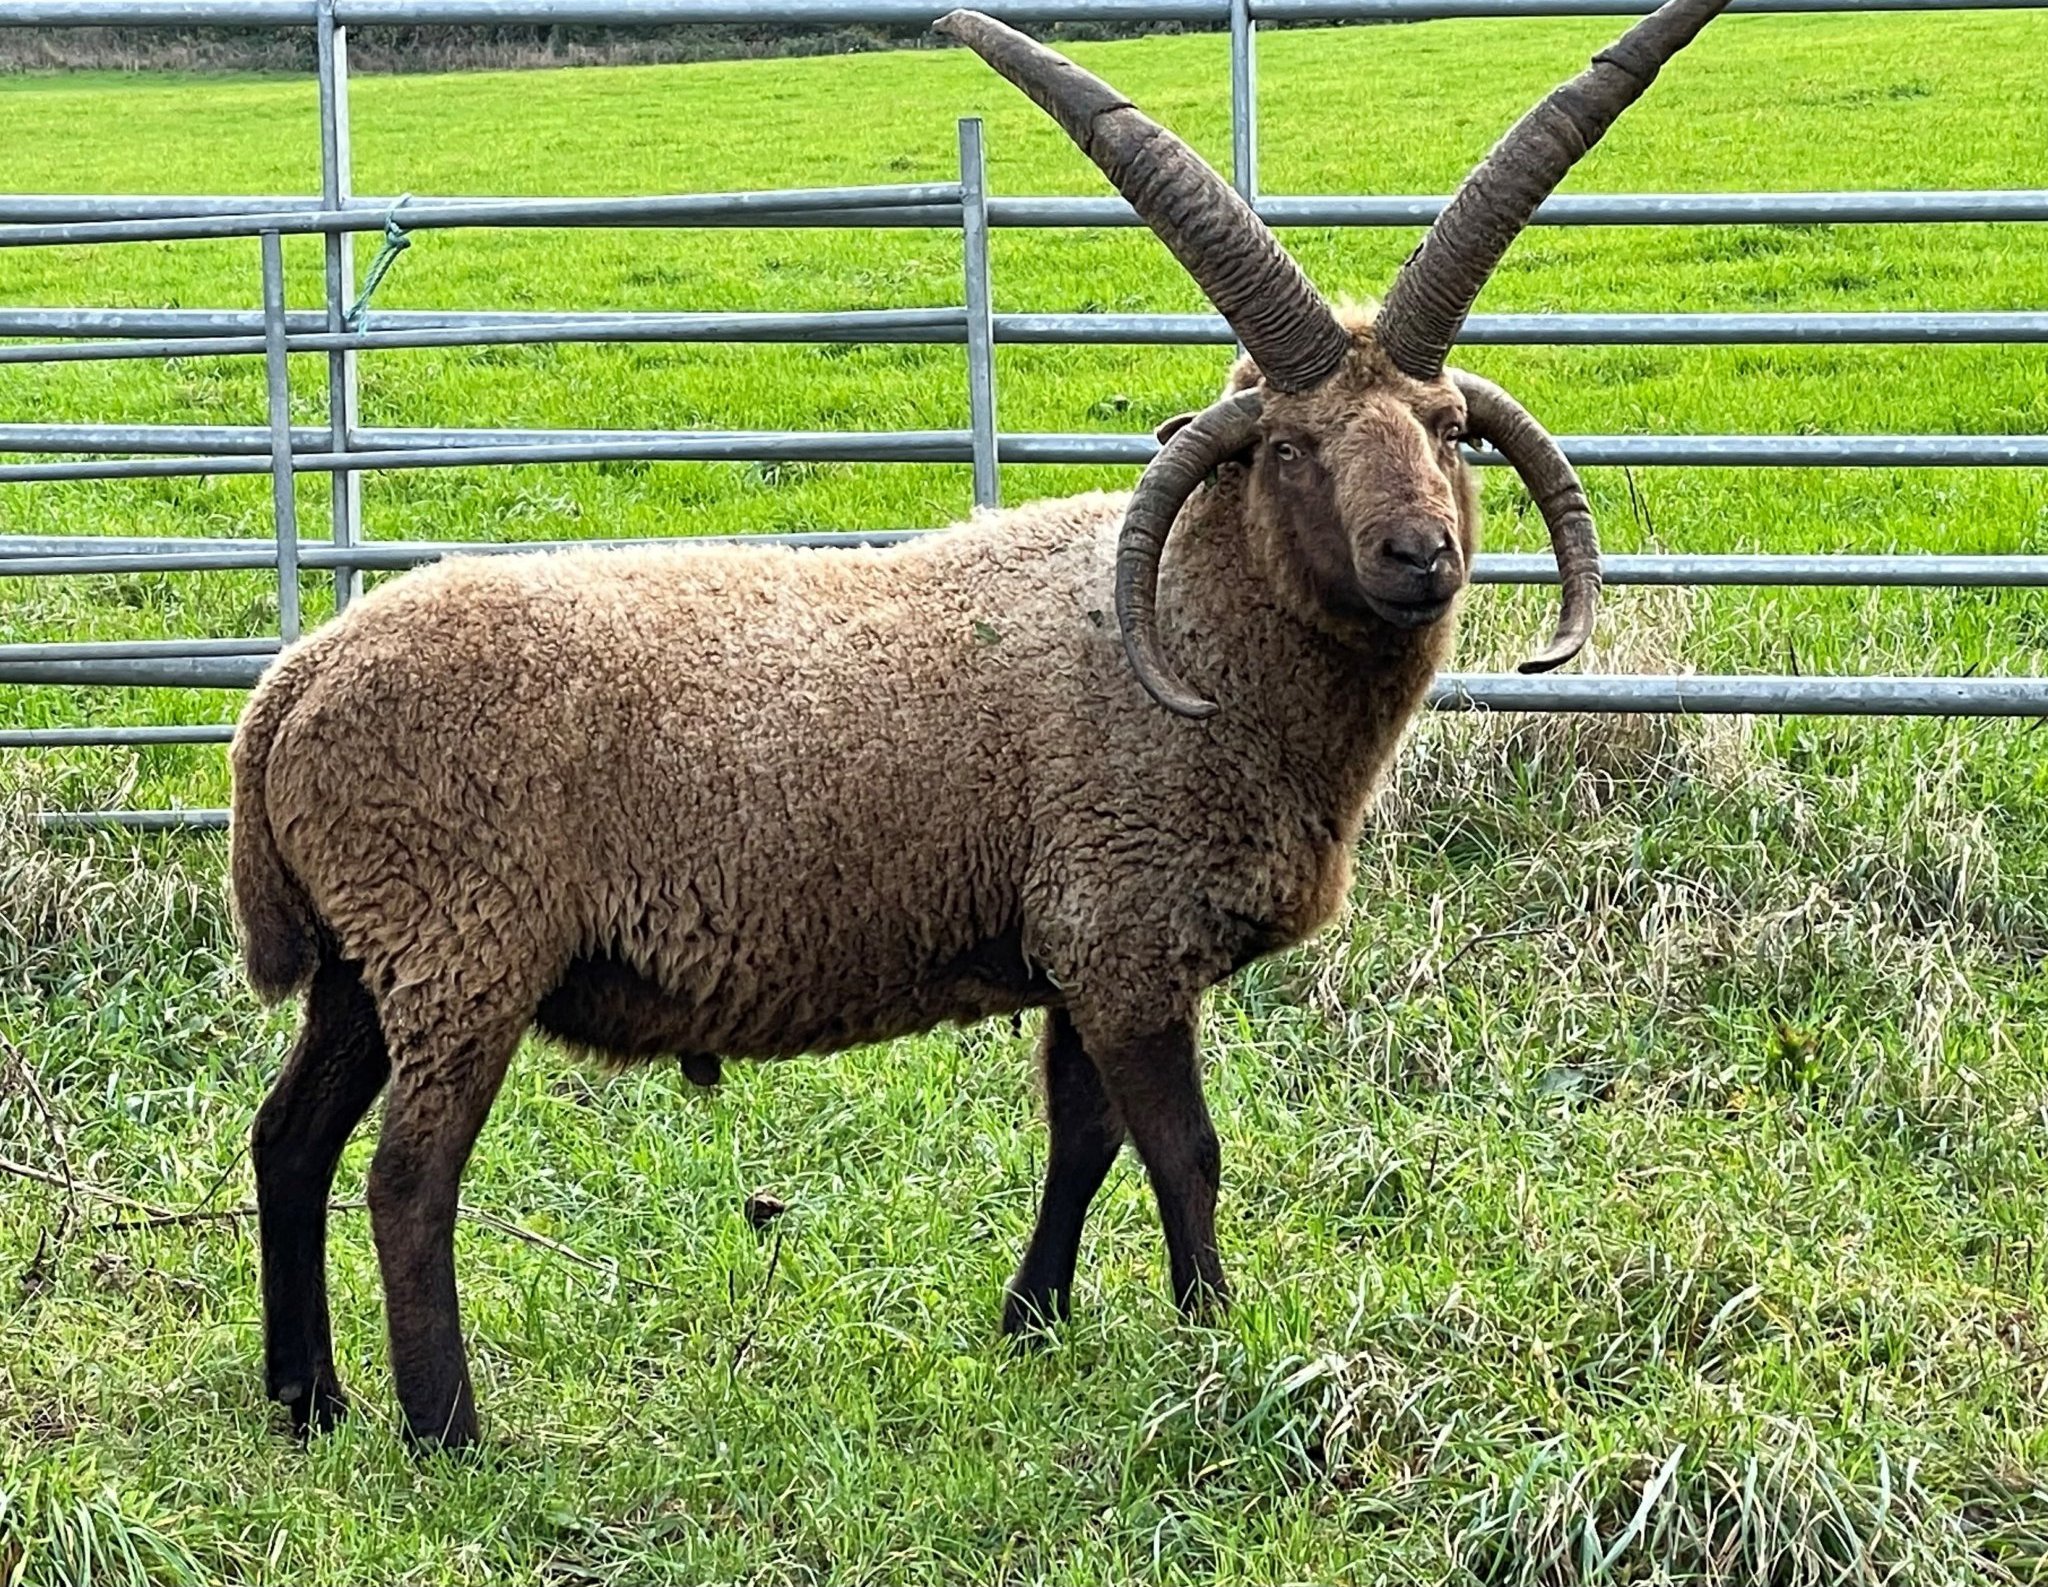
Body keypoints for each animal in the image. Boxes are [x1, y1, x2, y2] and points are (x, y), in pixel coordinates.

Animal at [232, 0, 1730, 1449]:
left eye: (1446, 429)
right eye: (1291, 448)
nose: (1421, 554)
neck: (1193, 635)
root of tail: (286, 691)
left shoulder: (1080, 944)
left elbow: (1082, 1139)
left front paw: (1034, 1321)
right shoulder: (1124, 930)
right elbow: (1183, 1150)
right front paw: (1211, 1337)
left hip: (368, 959)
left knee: (287, 1142)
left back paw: (308, 1401)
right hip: (461, 946)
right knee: (406, 1180)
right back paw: (447, 1432)